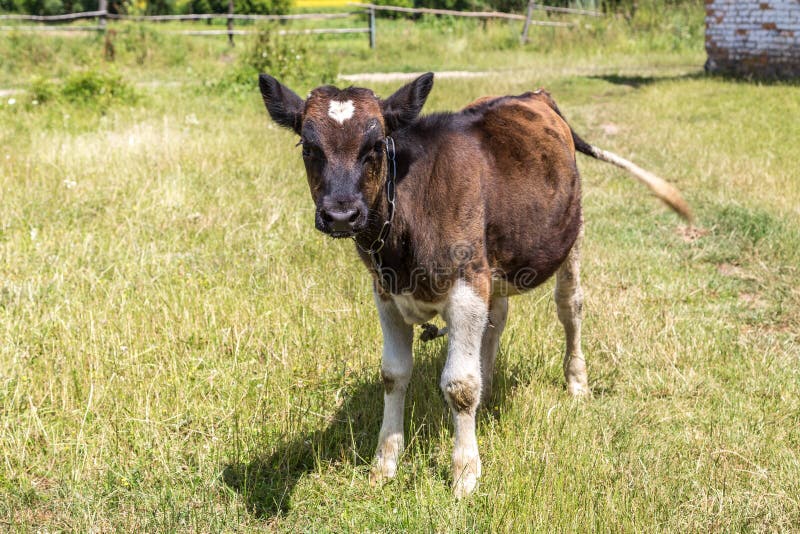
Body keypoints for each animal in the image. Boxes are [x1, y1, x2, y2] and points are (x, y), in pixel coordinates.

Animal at [258, 72, 691, 498]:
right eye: (309, 147)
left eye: (377, 146)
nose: (341, 215)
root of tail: (534, 94)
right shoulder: (385, 293)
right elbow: (394, 374)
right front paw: (384, 464)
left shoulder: (466, 286)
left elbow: (459, 384)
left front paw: (465, 473)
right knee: (497, 318)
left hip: (571, 236)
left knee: (570, 307)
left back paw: (576, 381)